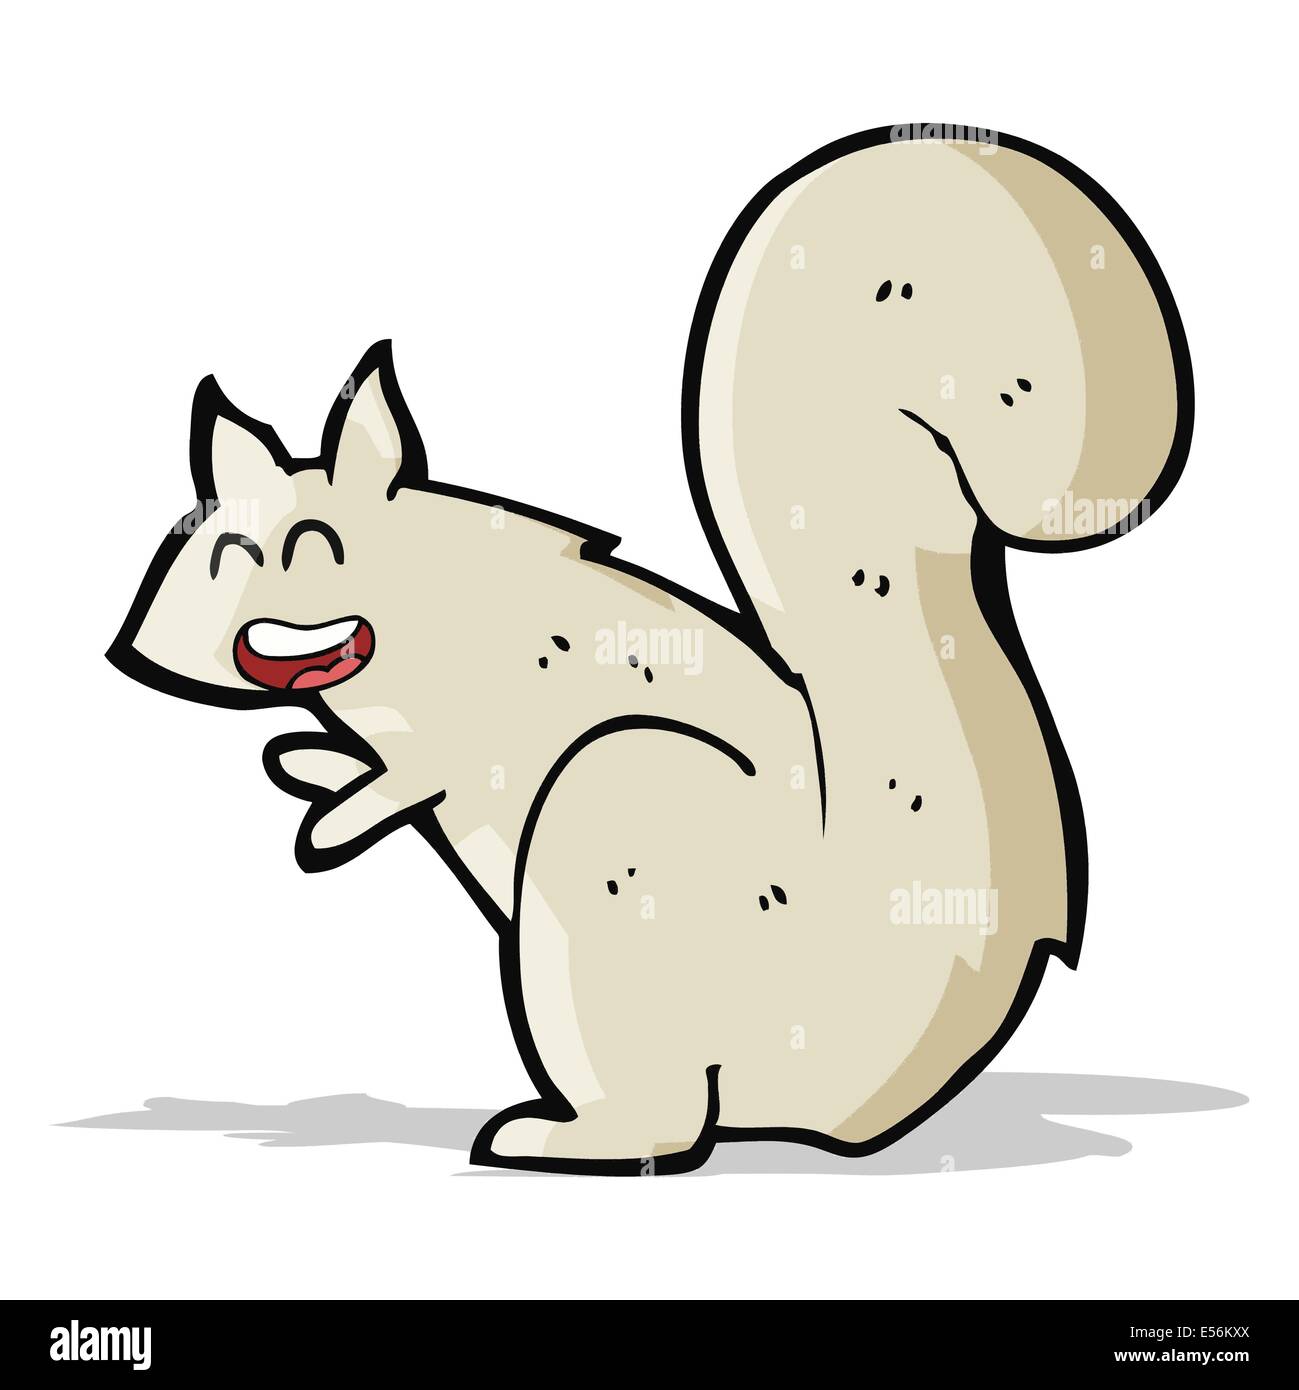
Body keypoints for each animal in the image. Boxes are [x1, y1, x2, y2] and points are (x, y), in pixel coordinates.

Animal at [111, 127, 1191, 1174]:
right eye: (200, 549)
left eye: (302, 548)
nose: (132, 650)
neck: (425, 620)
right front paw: (320, 766)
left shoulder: (481, 723)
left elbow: (433, 768)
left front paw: (347, 812)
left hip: (608, 831)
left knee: (672, 1122)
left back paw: (559, 1138)